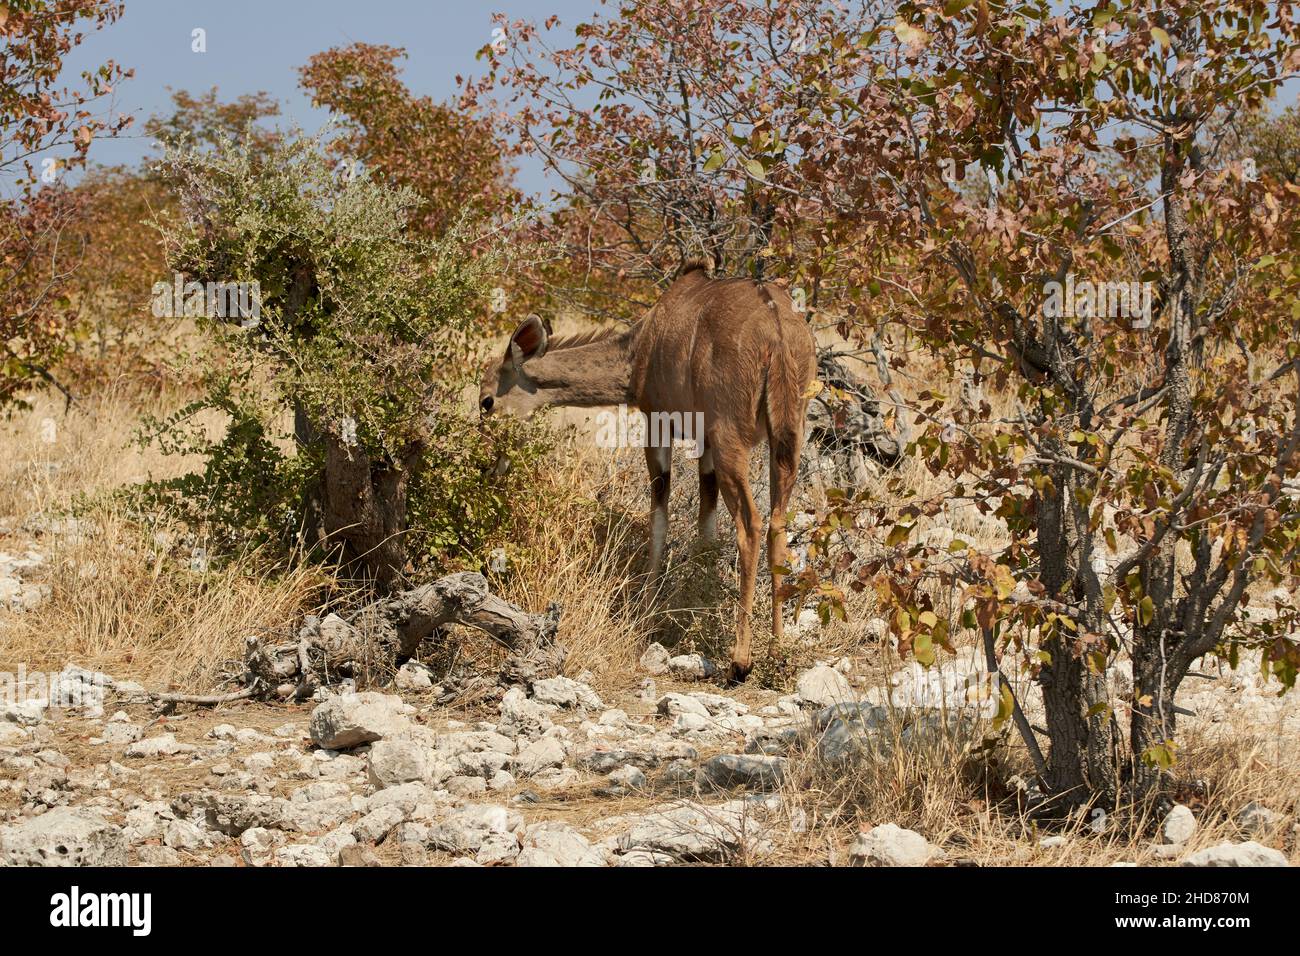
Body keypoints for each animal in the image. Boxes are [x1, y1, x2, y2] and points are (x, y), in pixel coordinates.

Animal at [478, 259, 817, 682]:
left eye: (487, 400)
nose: (487, 464)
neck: (637, 348)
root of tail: (777, 329)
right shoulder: (703, 442)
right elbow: (706, 526)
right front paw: (694, 603)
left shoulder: (659, 424)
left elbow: (660, 512)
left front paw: (648, 609)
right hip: (787, 438)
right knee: (777, 523)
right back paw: (776, 648)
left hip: (732, 438)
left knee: (750, 524)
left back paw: (740, 661)